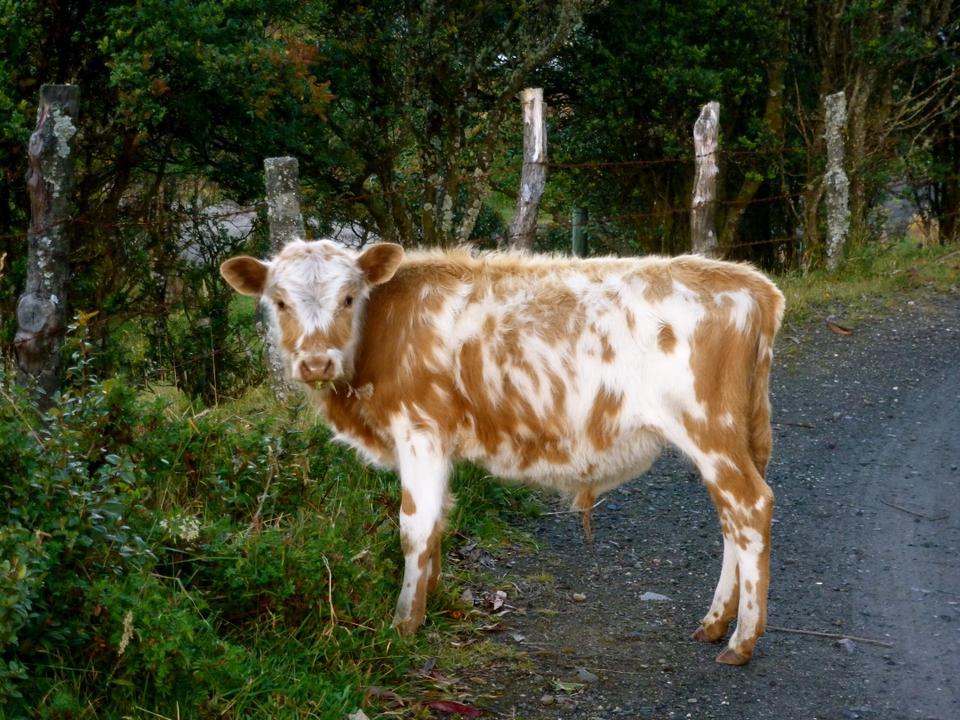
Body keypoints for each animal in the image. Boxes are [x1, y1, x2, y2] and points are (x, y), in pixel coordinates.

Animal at [220, 239, 784, 665]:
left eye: (348, 297)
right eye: (280, 302)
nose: (316, 362)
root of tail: (746, 281)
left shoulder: (419, 431)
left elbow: (413, 528)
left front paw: (404, 623)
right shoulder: (437, 442)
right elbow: (438, 522)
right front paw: (433, 597)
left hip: (709, 430)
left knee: (750, 507)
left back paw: (741, 640)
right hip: (731, 437)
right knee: (731, 521)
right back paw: (715, 622)